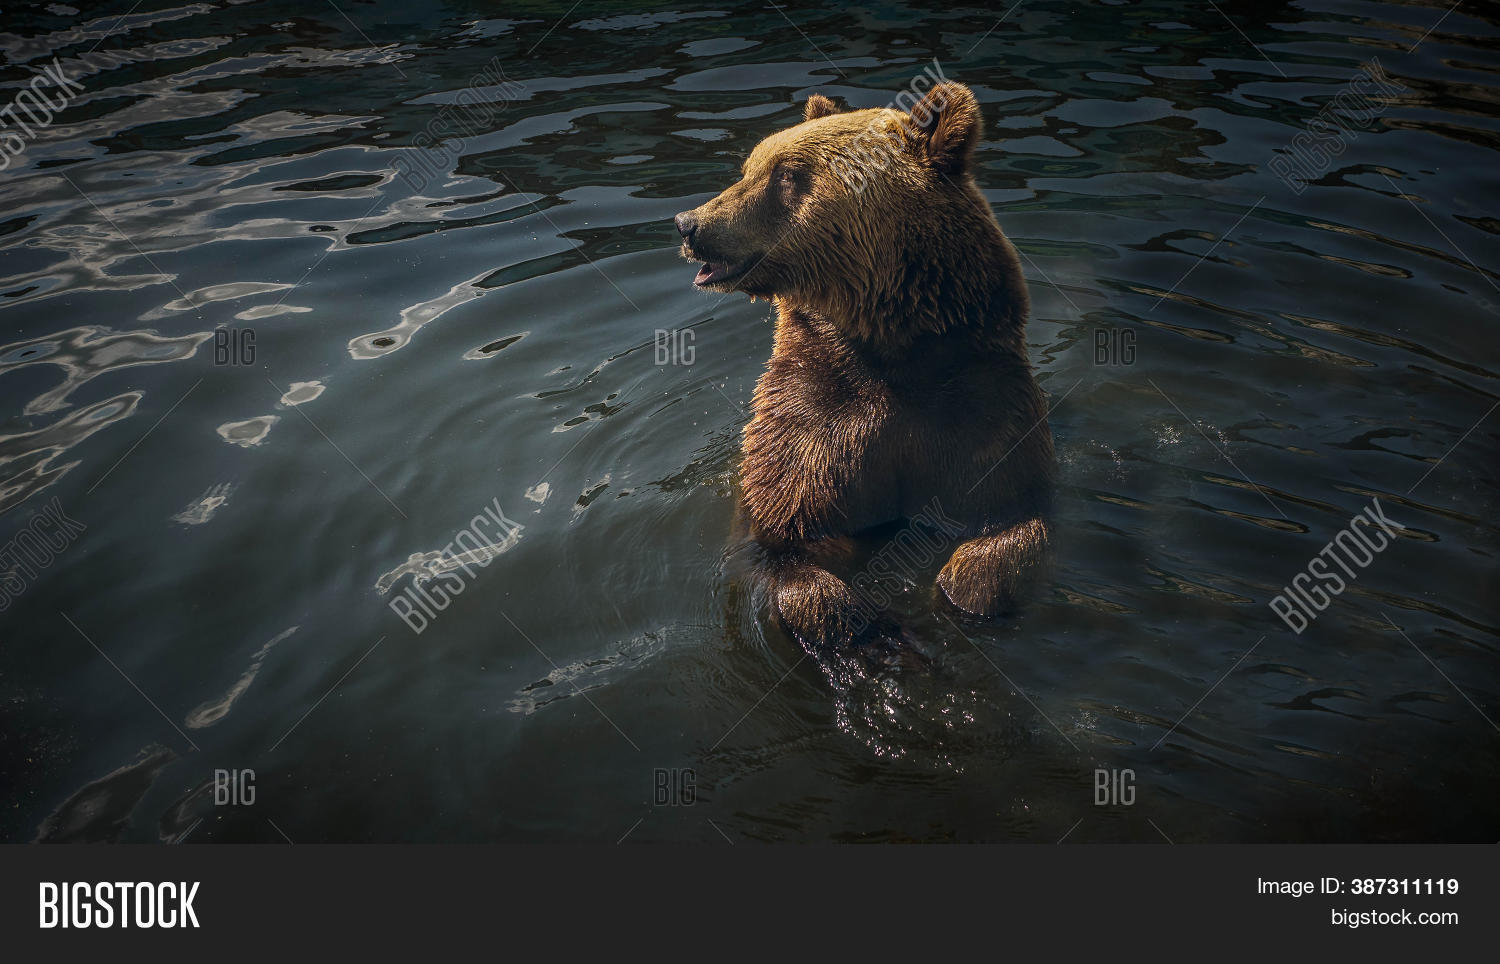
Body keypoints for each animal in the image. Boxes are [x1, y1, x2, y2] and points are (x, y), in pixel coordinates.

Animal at [673, 81, 1055, 648]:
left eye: (785, 174)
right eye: (751, 166)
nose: (690, 223)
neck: (888, 346)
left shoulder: (980, 402)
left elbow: (1013, 517)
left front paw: (962, 593)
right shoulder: (812, 418)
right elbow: (786, 542)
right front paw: (867, 632)